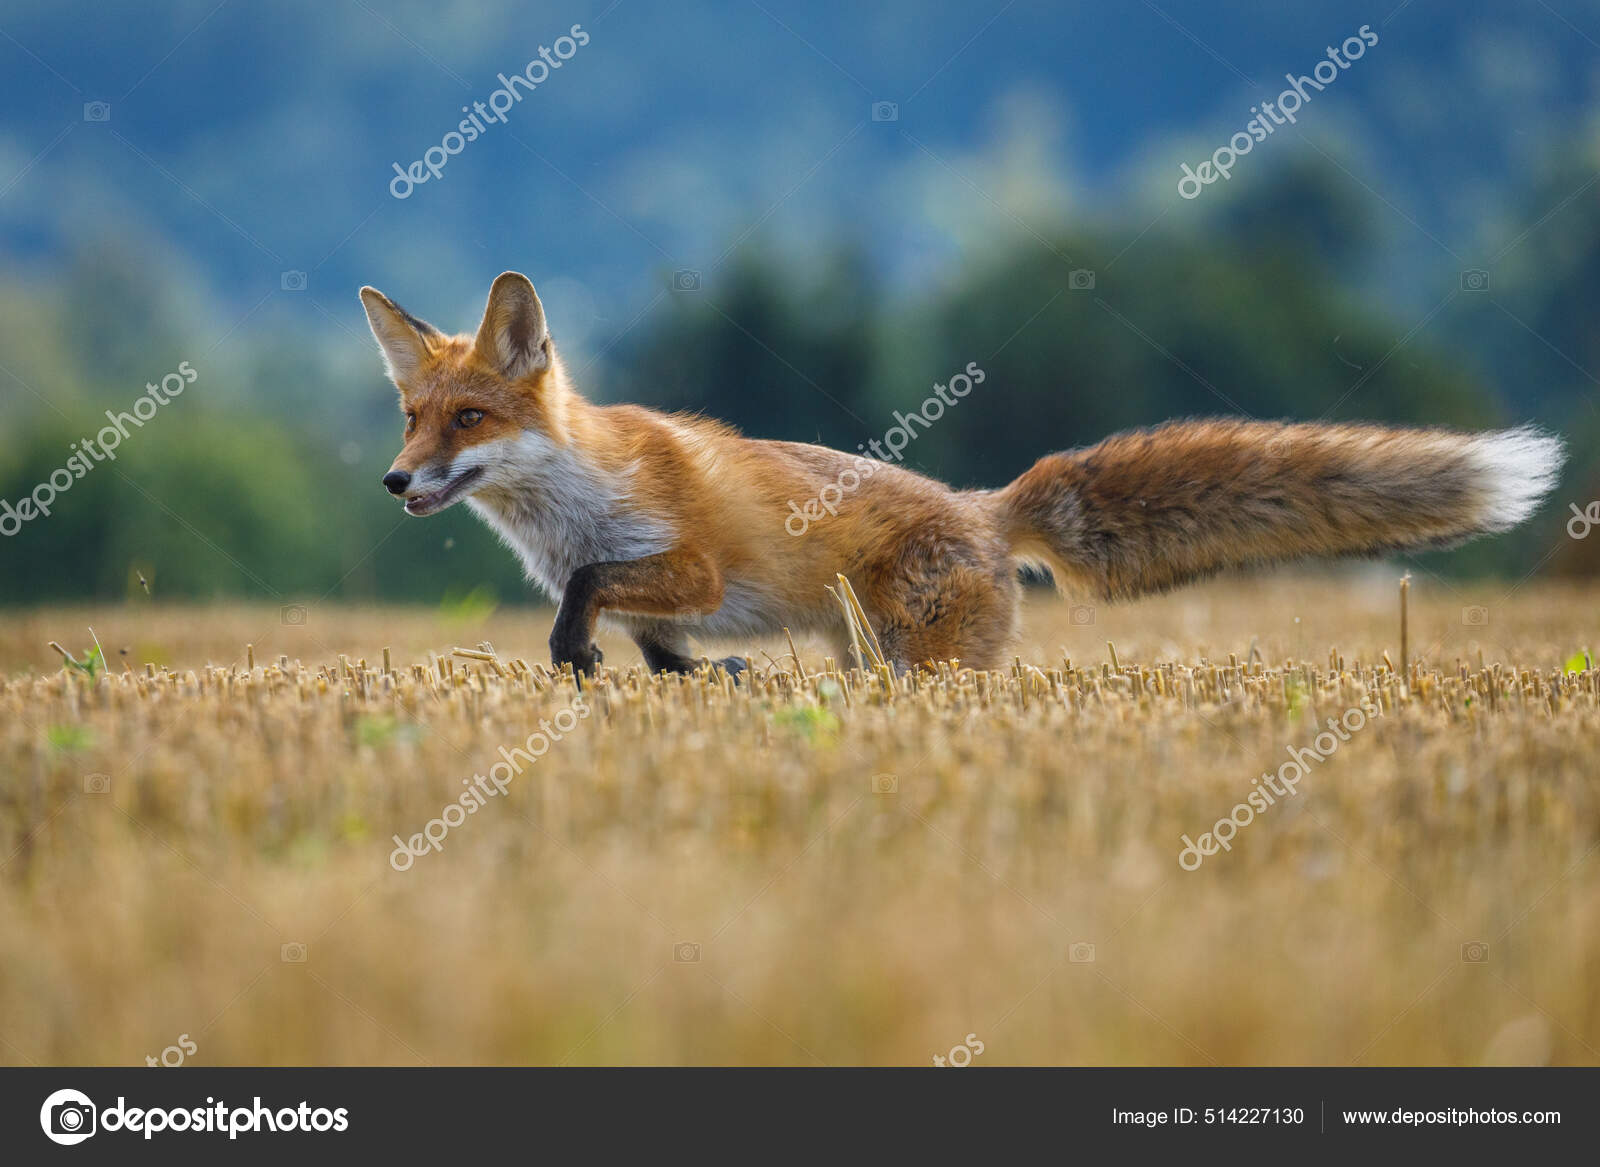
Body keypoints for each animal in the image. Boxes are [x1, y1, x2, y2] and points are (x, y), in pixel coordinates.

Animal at [360, 271, 1565, 677]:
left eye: (470, 418)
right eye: (412, 418)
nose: (394, 482)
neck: (571, 503)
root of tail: (989, 510)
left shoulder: (691, 571)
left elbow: (592, 587)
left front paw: (571, 649)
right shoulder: (671, 614)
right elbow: (667, 659)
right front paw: (673, 682)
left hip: (922, 657)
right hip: (868, 650)